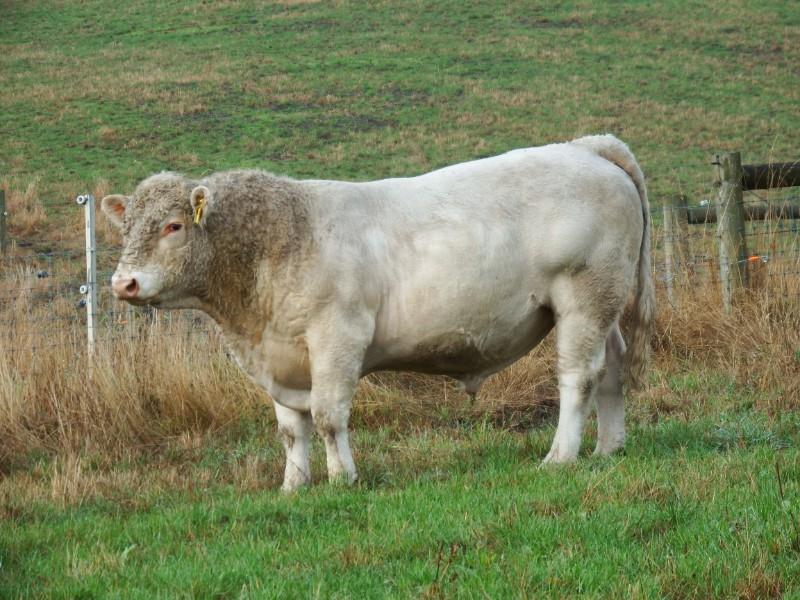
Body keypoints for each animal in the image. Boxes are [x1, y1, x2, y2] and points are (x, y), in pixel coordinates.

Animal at [101, 134, 654, 491]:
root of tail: (586, 146)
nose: (122, 283)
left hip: (584, 295)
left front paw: (343, 478)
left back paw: (560, 457)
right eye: (126, 226)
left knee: (578, 376)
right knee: (612, 365)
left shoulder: (337, 336)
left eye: (173, 226)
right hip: (602, 305)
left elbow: (328, 415)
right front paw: (293, 486)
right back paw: (609, 447)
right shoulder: (278, 356)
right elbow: (291, 429)